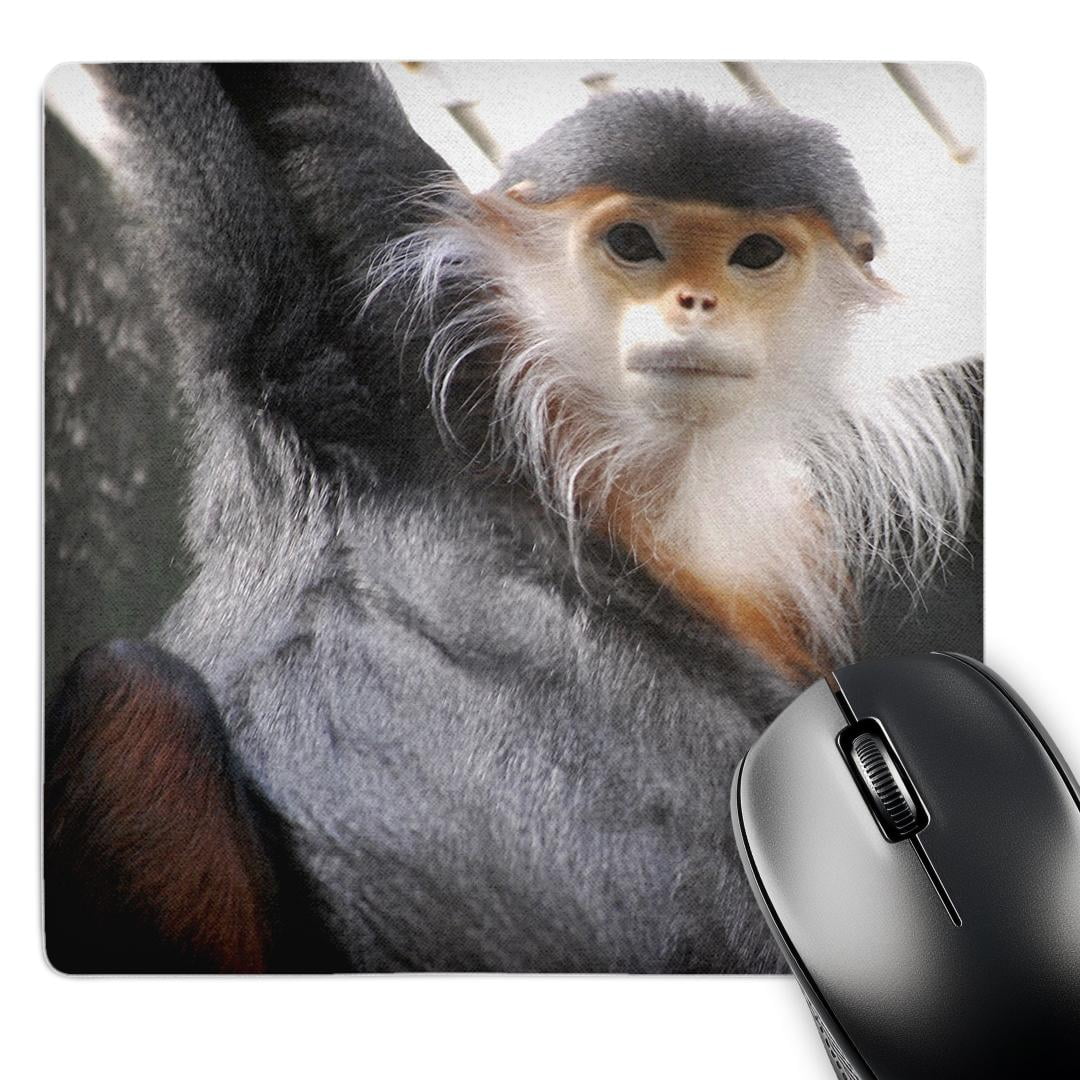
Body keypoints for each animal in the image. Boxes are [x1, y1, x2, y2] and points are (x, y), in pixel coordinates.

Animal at [44, 63, 980, 973]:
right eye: (633, 243)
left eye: (755, 254)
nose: (694, 302)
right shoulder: (379, 346)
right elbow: (291, 109)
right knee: (133, 684)